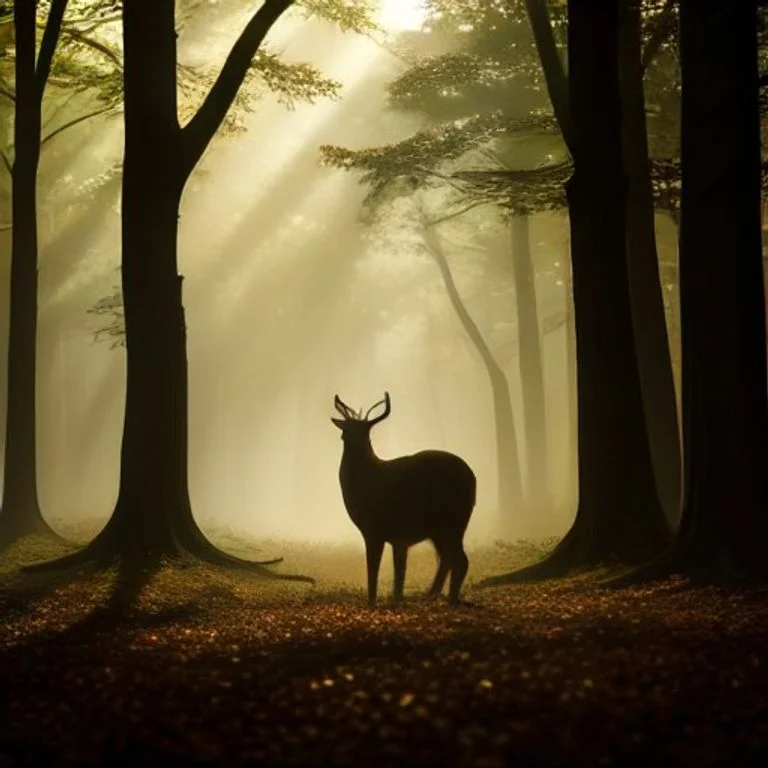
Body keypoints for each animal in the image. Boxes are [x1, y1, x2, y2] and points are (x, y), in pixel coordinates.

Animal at [331, 392, 476, 606]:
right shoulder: (398, 537)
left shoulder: (374, 529)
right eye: (344, 431)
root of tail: (473, 479)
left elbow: (373, 569)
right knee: (447, 558)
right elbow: (399, 573)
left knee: (460, 559)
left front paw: (372, 603)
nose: (350, 437)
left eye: (365, 433)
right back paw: (432, 594)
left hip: (453, 521)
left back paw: (449, 600)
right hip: (441, 529)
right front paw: (395, 600)